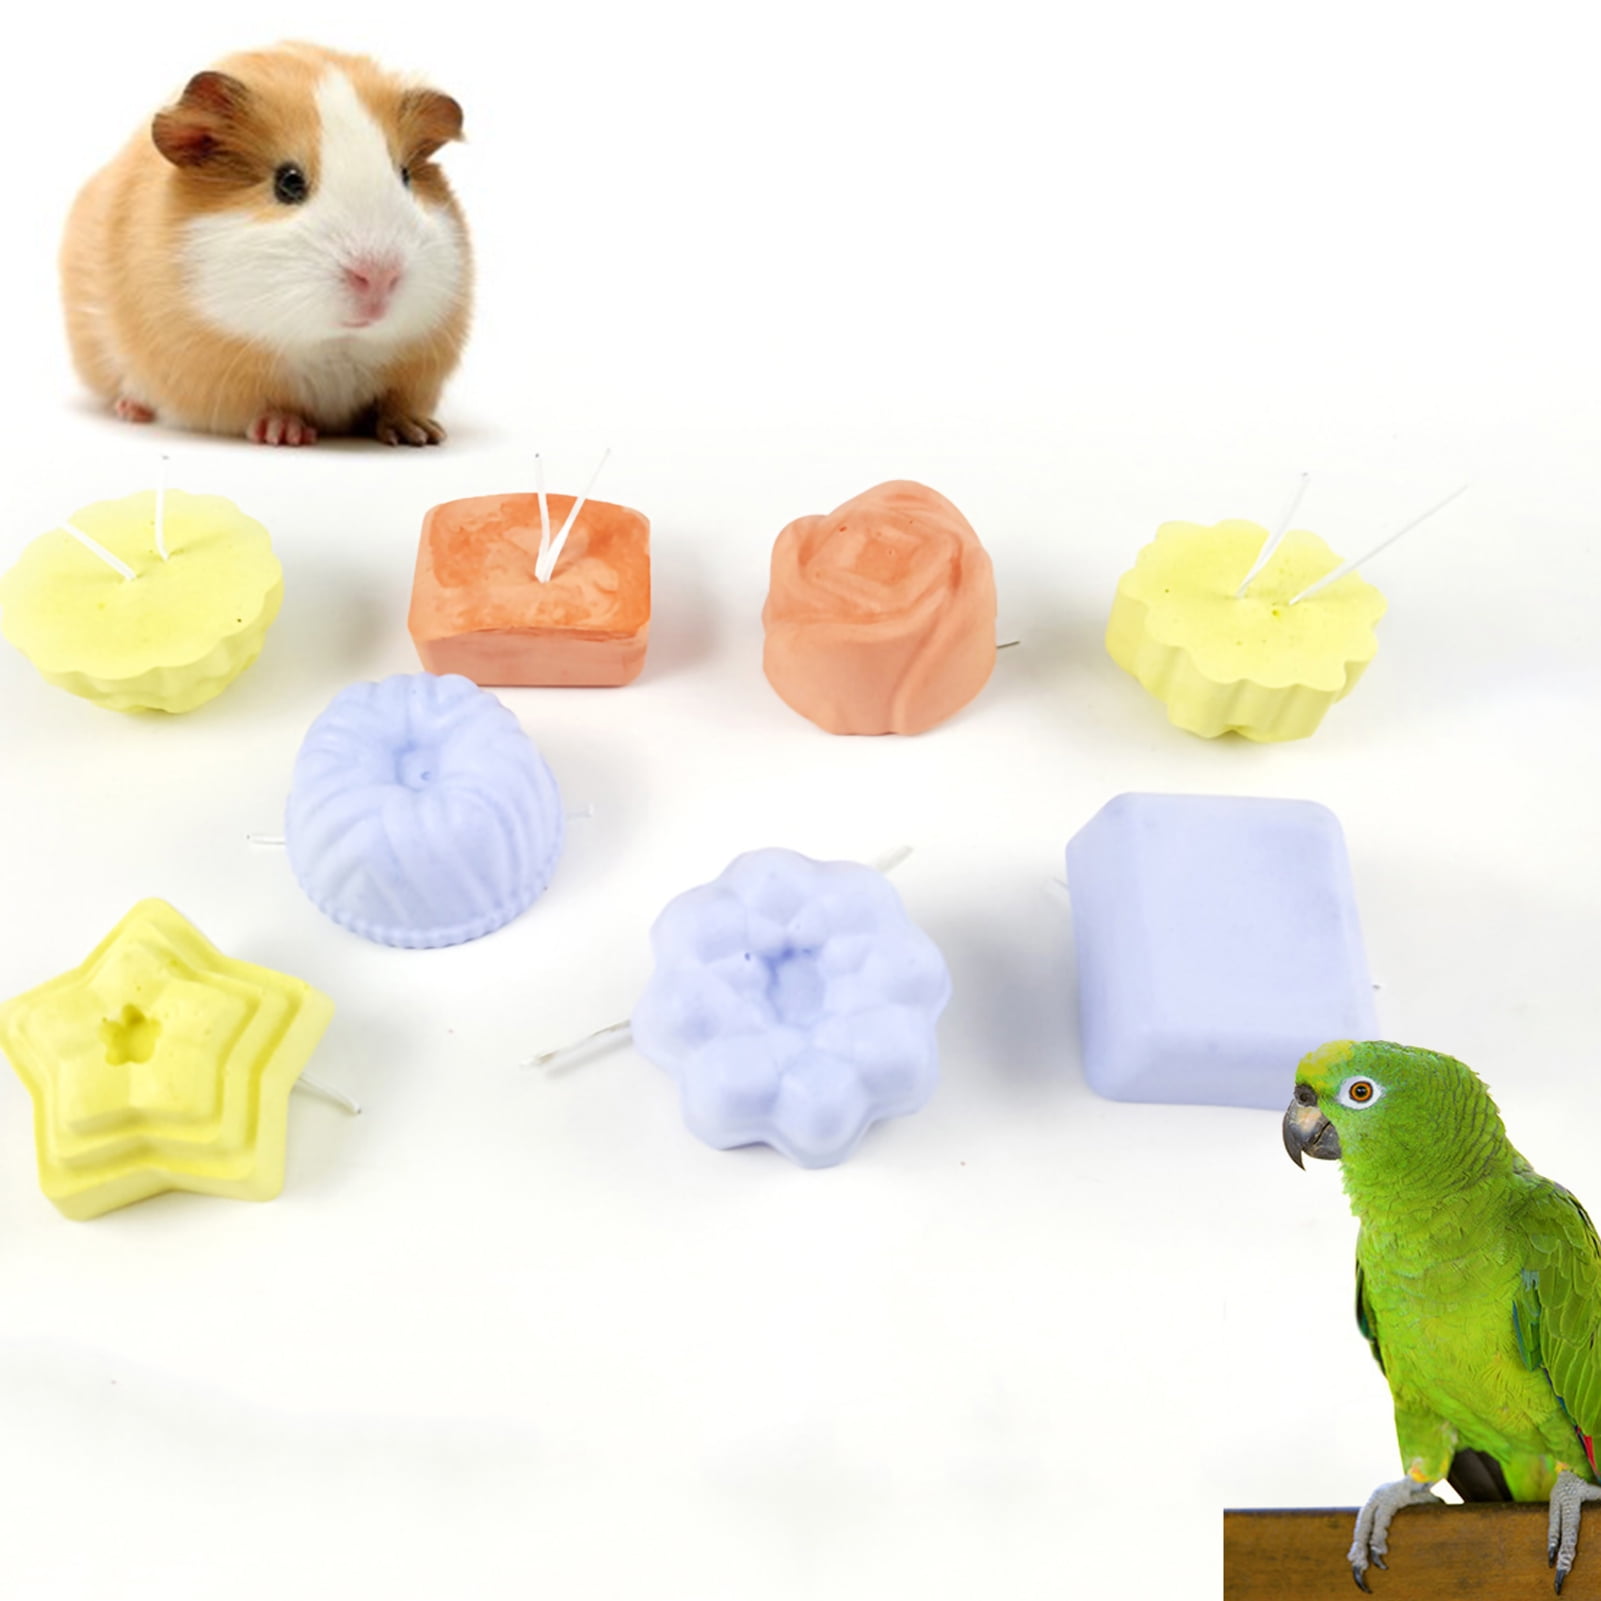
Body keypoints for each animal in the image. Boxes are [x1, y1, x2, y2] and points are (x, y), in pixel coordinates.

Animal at [60, 43, 471, 447]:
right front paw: (286, 434)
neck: (336, 346)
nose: (379, 276)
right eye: (288, 182)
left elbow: (396, 404)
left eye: (405, 176)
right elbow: (266, 408)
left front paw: (421, 434)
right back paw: (131, 410)